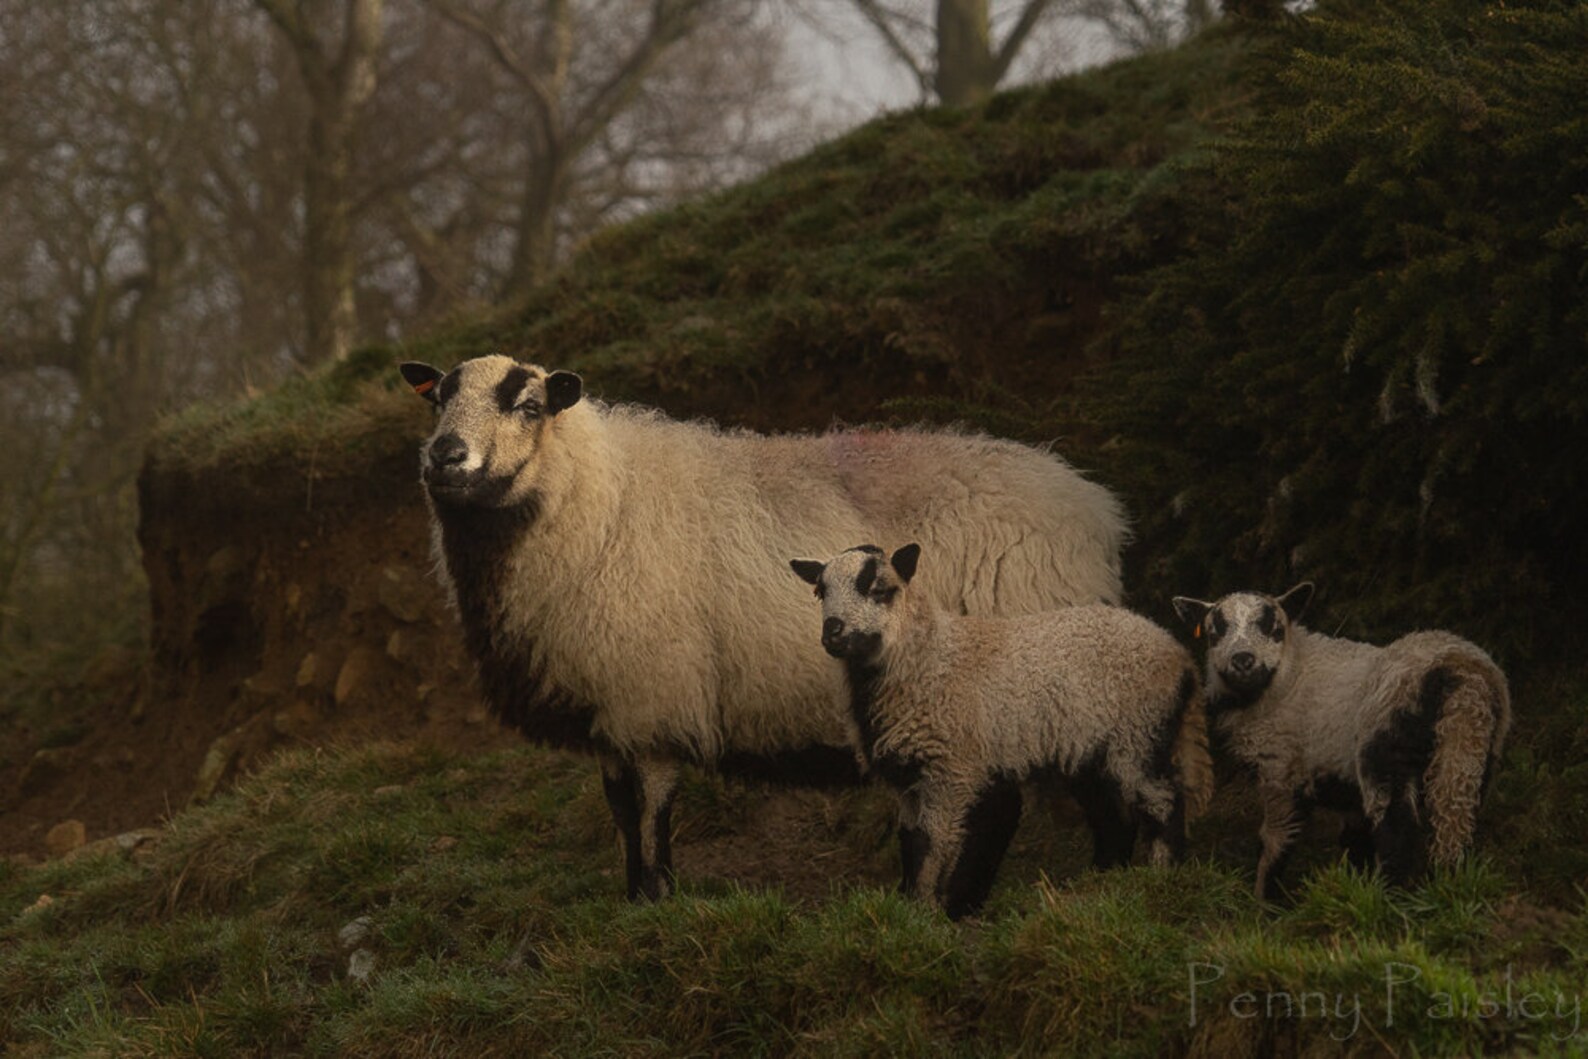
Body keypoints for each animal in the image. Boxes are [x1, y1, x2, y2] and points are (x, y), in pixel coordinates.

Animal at [397, 354, 1129, 901]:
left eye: (528, 405)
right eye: (439, 400)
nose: (445, 456)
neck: (598, 501)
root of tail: (1094, 511)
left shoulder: (652, 695)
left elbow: (651, 808)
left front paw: (656, 901)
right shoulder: (609, 703)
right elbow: (620, 809)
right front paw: (632, 899)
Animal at [790, 543, 1214, 919]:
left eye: (879, 589)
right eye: (820, 591)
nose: (833, 633)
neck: (929, 658)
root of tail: (1180, 657)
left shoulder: (951, 769)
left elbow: (933, 840)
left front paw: (927, 912)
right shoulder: (911, 777)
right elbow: (911, 839)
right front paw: (912, 905)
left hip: (1138, 735)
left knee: (1163, 801)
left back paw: (1158, 877)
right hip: (1093, 750)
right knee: (1114, 817)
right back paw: (1102, 882)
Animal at [1170, 583, 1511, 899]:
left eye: (1274, 628)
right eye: (1215, 632)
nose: (1243, 661)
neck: (1288, 677)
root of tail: (1464, 679)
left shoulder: (1280, 770)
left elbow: (1275, 839)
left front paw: (1265, 901)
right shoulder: (1343, 783)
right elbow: (1354, 840)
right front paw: (1352, 884)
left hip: (1384, 751)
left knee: (1397, 832)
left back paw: (1389, 900)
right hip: (1473, 759)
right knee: (1457, 822)